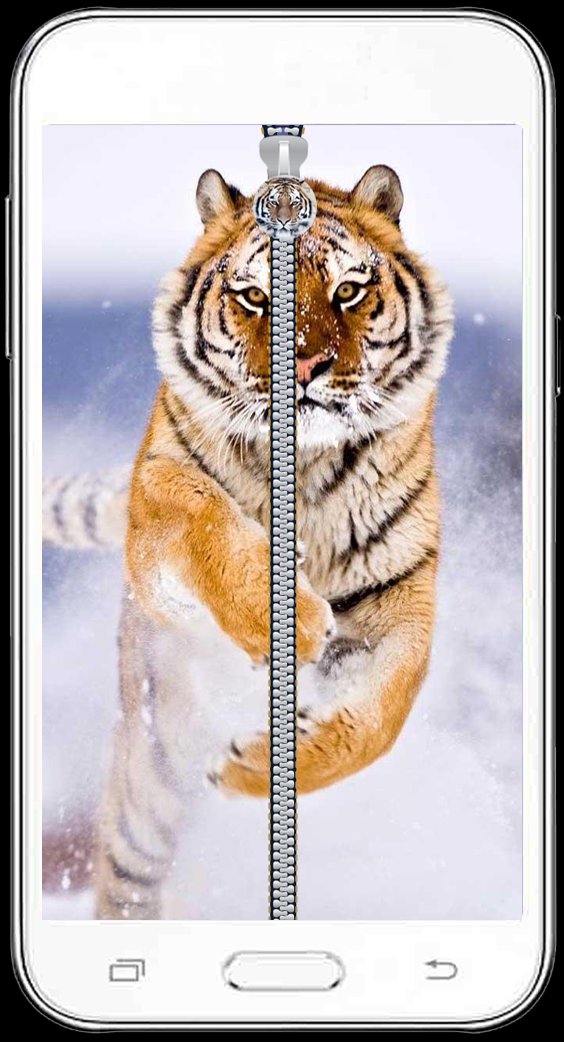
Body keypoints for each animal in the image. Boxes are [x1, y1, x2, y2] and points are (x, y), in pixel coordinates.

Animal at [44, 164, 453, 919]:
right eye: (256, 296)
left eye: (348, 290)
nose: (305, 368)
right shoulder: (157, 507)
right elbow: (207, 518)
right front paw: (285, 619)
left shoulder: (399, 596)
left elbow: (378, 720)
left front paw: (253, 766)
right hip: (149, 783)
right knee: (127, 877)